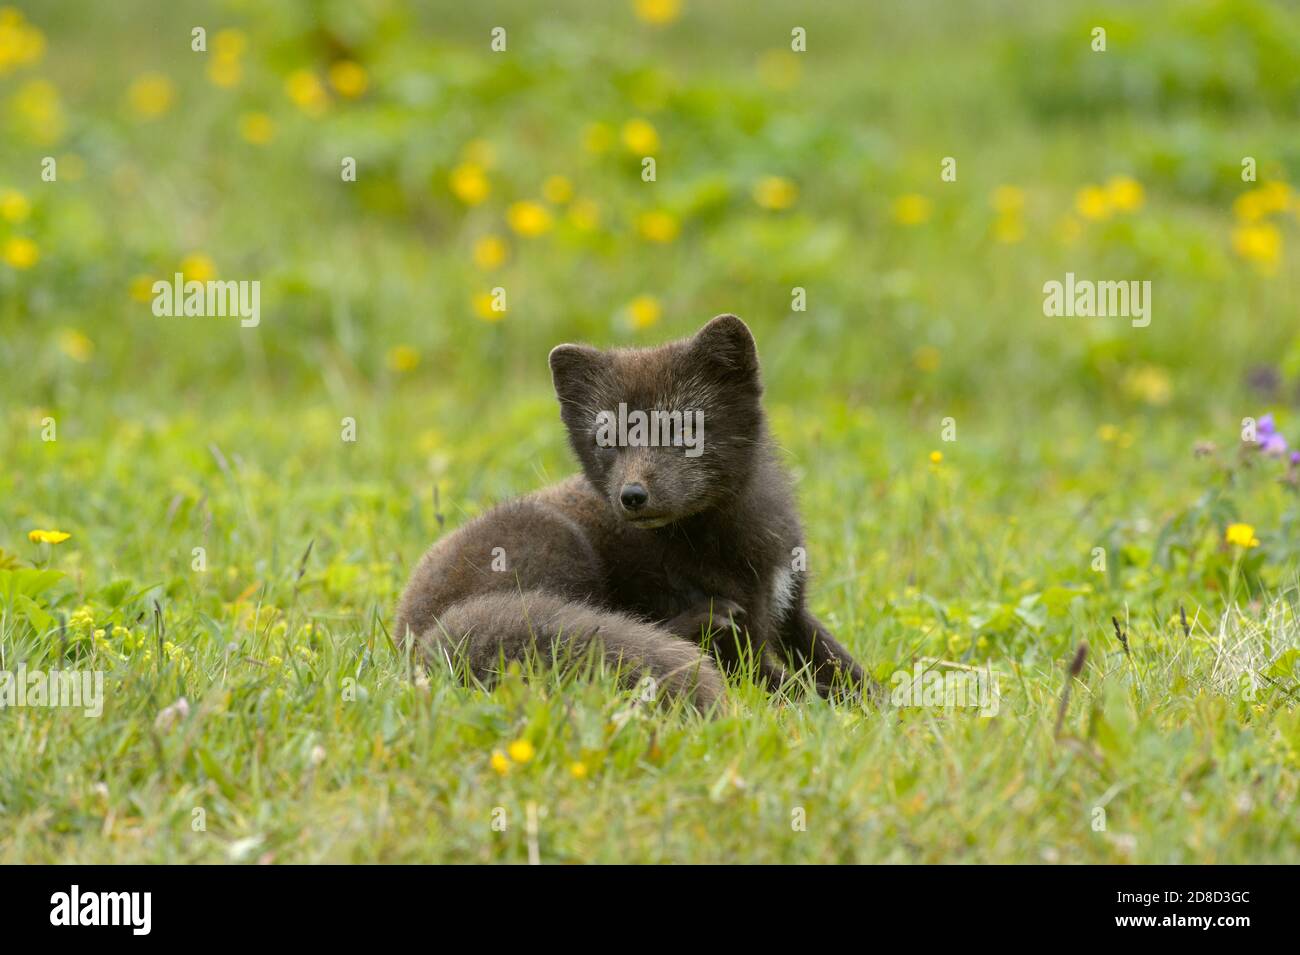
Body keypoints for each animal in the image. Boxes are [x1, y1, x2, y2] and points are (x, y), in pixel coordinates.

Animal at [394, 314, 868, 711]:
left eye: (682, 430)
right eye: (607, 438)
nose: (633, 495)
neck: (744, 543)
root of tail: (419, 637)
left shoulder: (791, 610)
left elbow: (851, 671)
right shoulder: (746, 651)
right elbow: (803, 690)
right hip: (557, 545)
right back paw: (705, 620)